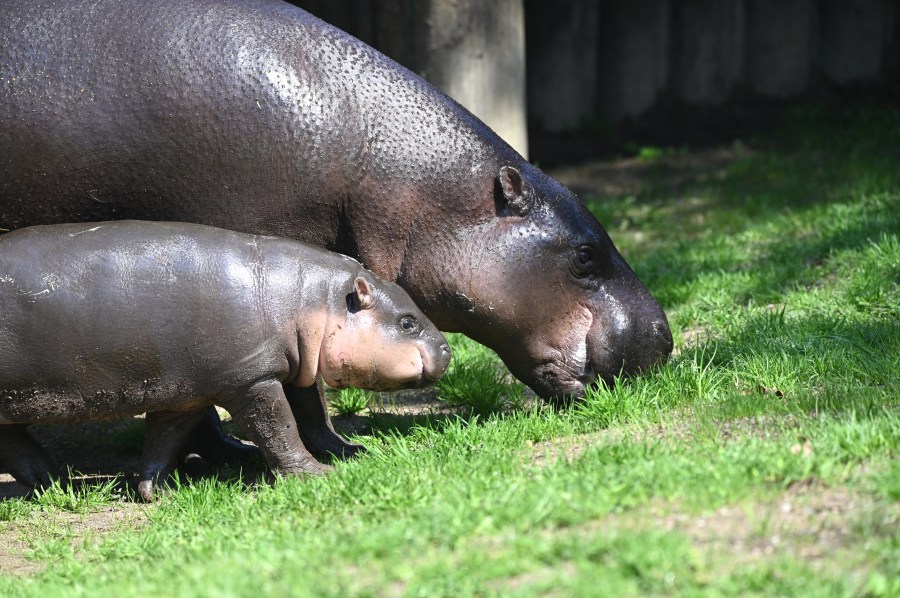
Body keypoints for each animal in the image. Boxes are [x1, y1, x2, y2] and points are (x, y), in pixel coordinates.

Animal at [0, 221, 451, 500]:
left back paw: (51, 481)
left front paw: (156, 492)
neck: (311, 299)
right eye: (408, 322)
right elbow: (279, 428)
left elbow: (163, 439)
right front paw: (322, 474)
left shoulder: (184, 393)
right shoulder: (251, 380)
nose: (446, 349)